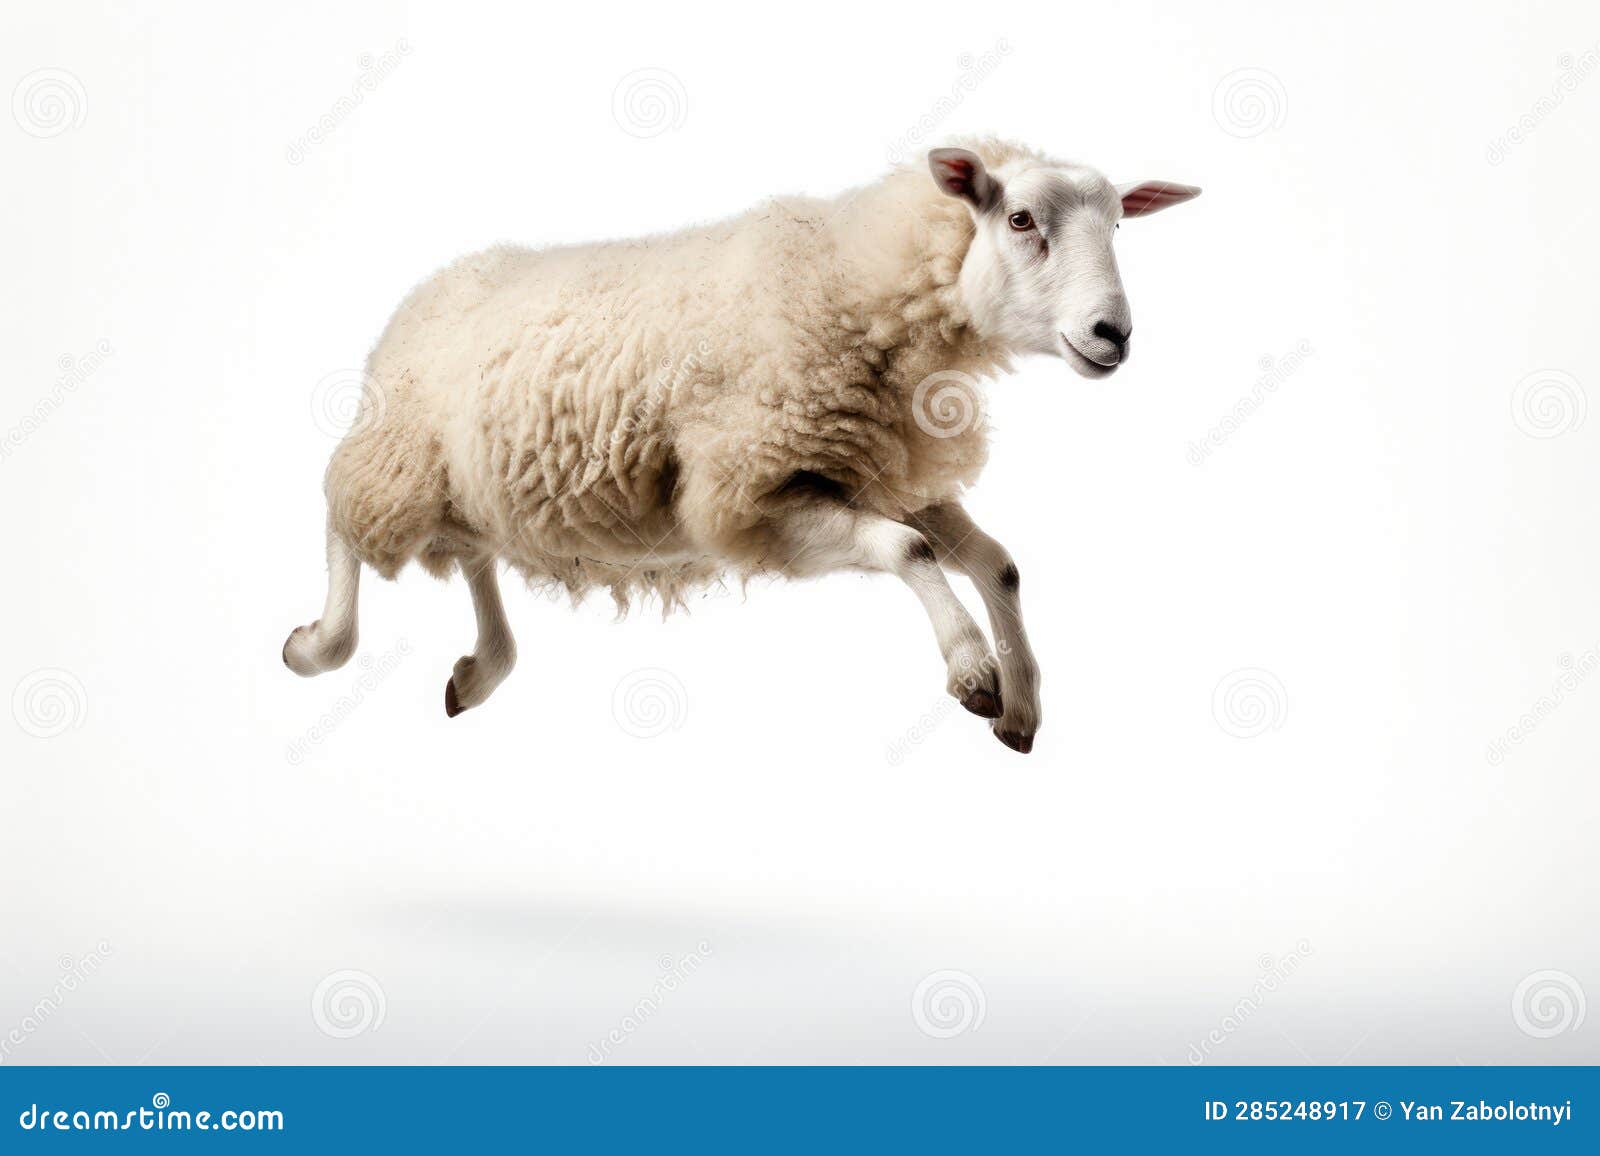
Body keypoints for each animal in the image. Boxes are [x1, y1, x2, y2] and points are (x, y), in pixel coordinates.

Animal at [282, 138, 1200, 752]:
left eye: (1120, 226)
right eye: (1019, 218)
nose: (1112, 334)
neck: (853, 287)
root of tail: (430, 289)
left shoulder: (886, 474)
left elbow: (997, 562)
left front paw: (1022, 701)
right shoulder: (752, 499)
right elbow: (907, 552)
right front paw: (973, 671)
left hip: (474, 480)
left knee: (472, 551)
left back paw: (479, 669)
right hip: (395, 456)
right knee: (338, 517)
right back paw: (317, 645)